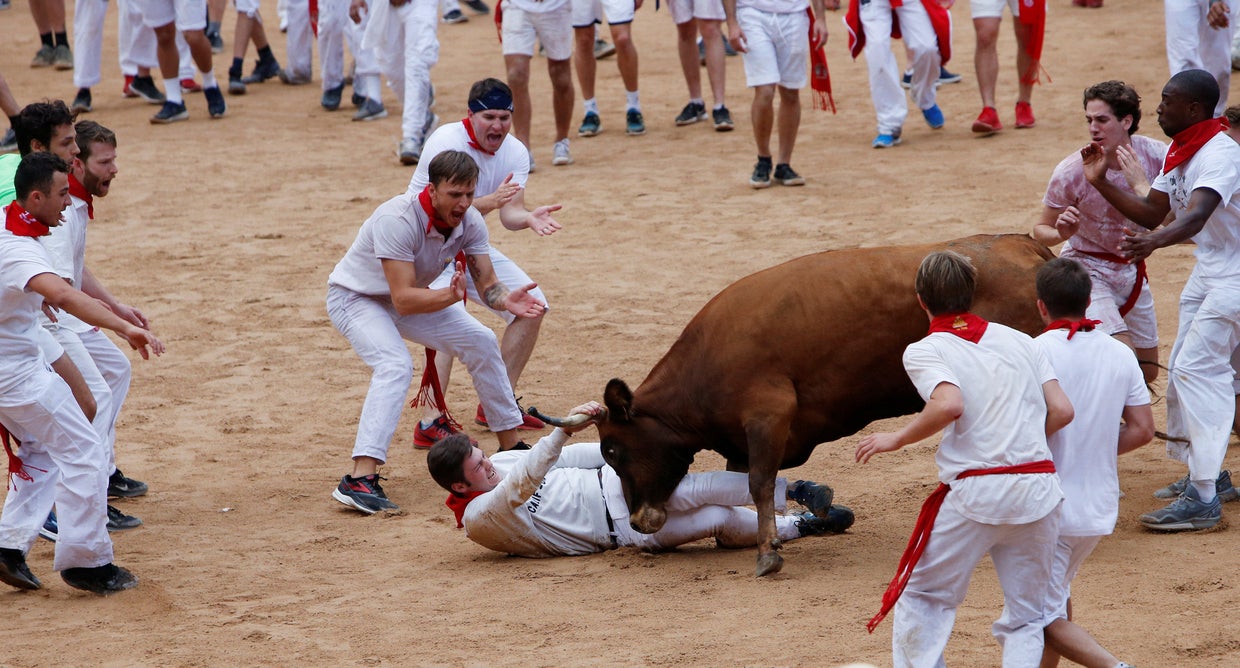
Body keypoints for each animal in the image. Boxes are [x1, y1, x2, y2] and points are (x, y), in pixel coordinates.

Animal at [592, 234, 1055, 577]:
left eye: (613, 450)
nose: (636, 522)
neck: (705, 362)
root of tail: (1021, 243)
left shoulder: (768, 415)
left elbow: (759, 483)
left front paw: (768, 553)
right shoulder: (740, 441)